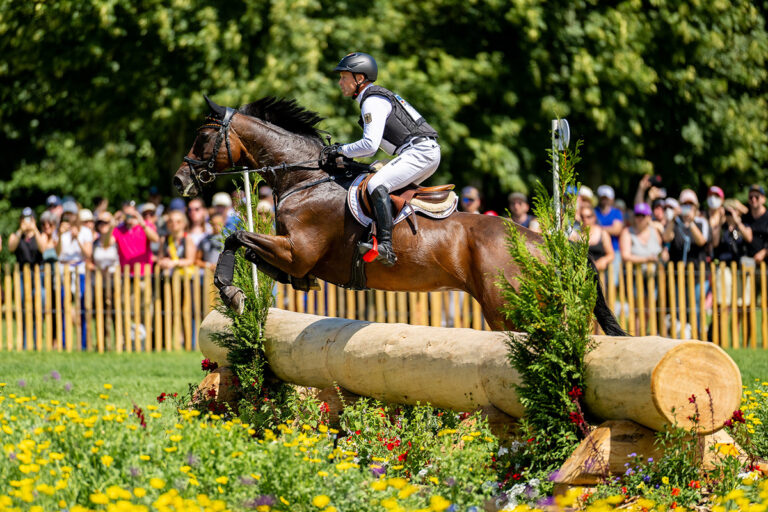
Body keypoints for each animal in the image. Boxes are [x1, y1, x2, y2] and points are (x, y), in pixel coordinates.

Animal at [174, 96, 626, 335]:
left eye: (203, 137)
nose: (180, 181)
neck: (307, 179)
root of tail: (547, 244)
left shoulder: (297, 251)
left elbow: (236, 238)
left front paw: (230, 293)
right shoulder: (294, 259)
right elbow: (253, 252)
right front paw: (243, 292)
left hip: (508, 310)